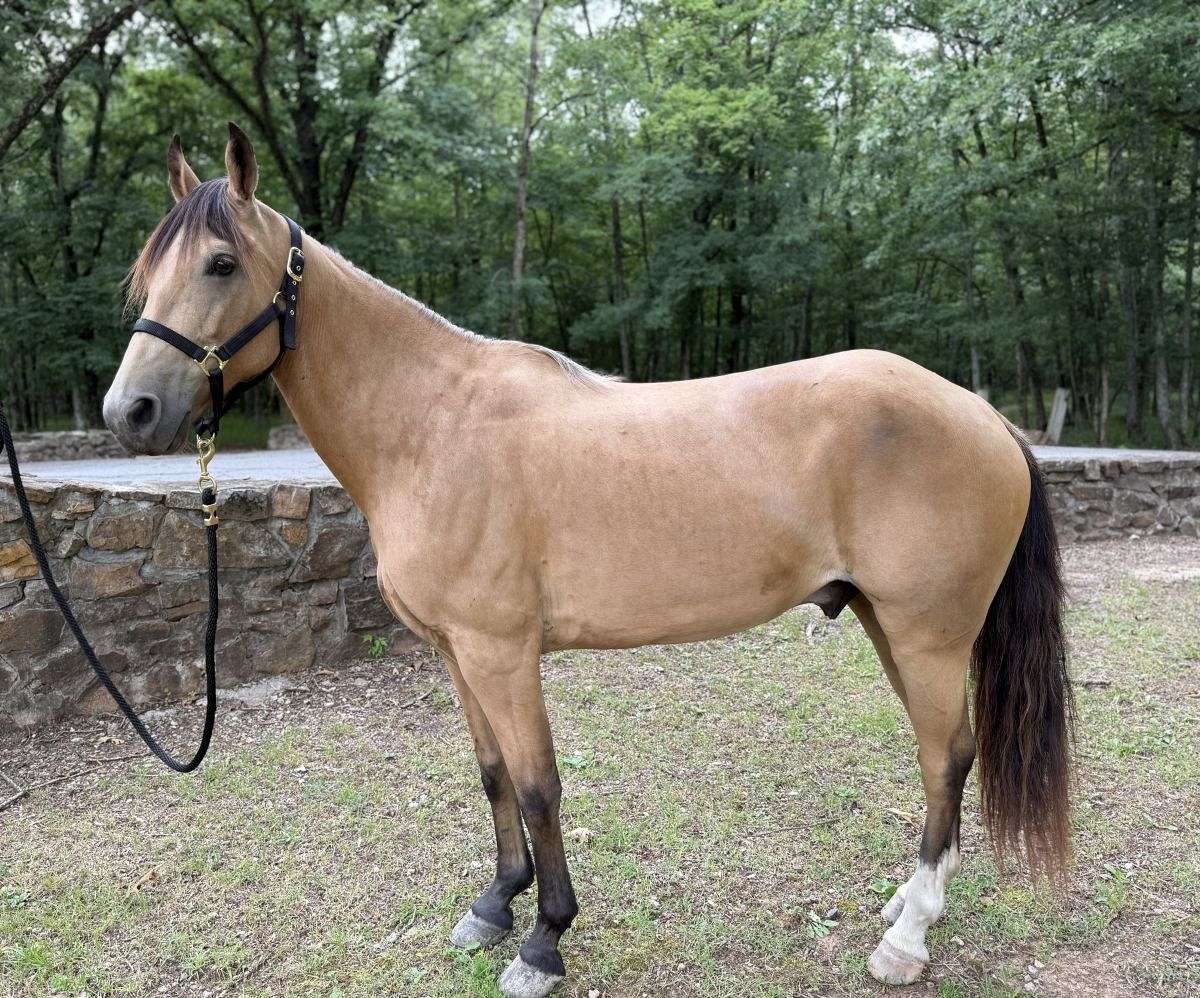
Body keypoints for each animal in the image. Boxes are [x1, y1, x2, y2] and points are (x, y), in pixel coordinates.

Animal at [103, 124, 1073, 998]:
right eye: (148, 274)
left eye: (220, 264)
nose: (129, 412)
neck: (431, 428)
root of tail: (983, 414)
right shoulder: (456, 653)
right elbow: (494, 774)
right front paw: (495, 905)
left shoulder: (502, 652)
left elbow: (539, 788)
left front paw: (544, 943)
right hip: (886, 623)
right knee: (944, 755)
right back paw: (908, 903)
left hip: (928, 634)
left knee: (946, 755)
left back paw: (907, 940)